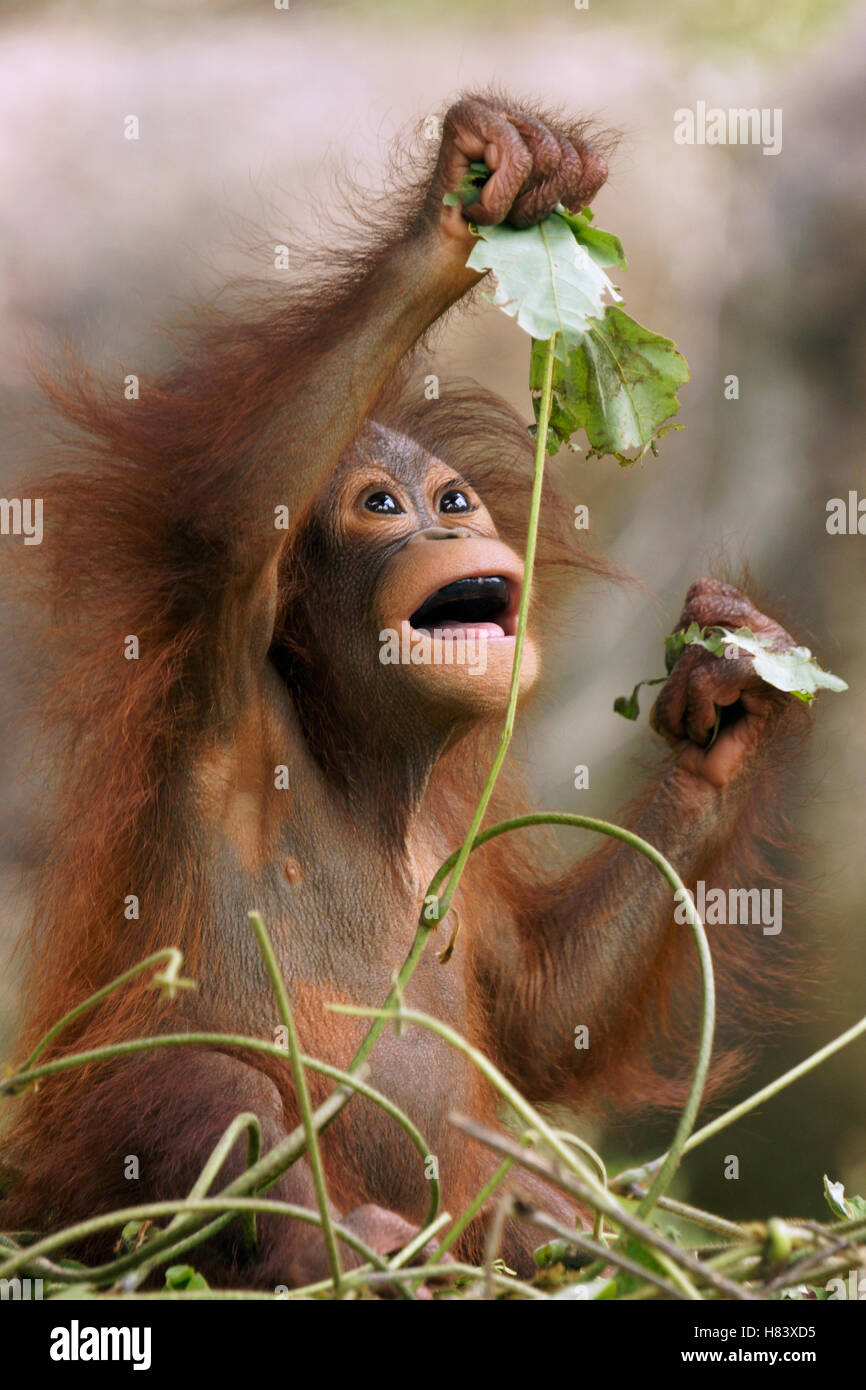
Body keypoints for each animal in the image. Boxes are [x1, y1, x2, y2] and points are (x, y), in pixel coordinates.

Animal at [0, 95, 813, 1287]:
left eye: (454, 499)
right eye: (381, 505)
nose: (443, 534)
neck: (359, 767)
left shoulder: (451, 846)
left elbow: (542, 1008)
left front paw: (722, 703)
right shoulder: (222, 689)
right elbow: (233, 517)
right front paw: (462, 200)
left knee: (512, 1194)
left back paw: (533, 1233)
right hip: (67, 1185)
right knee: (203, 1087)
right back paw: (346, 1245)